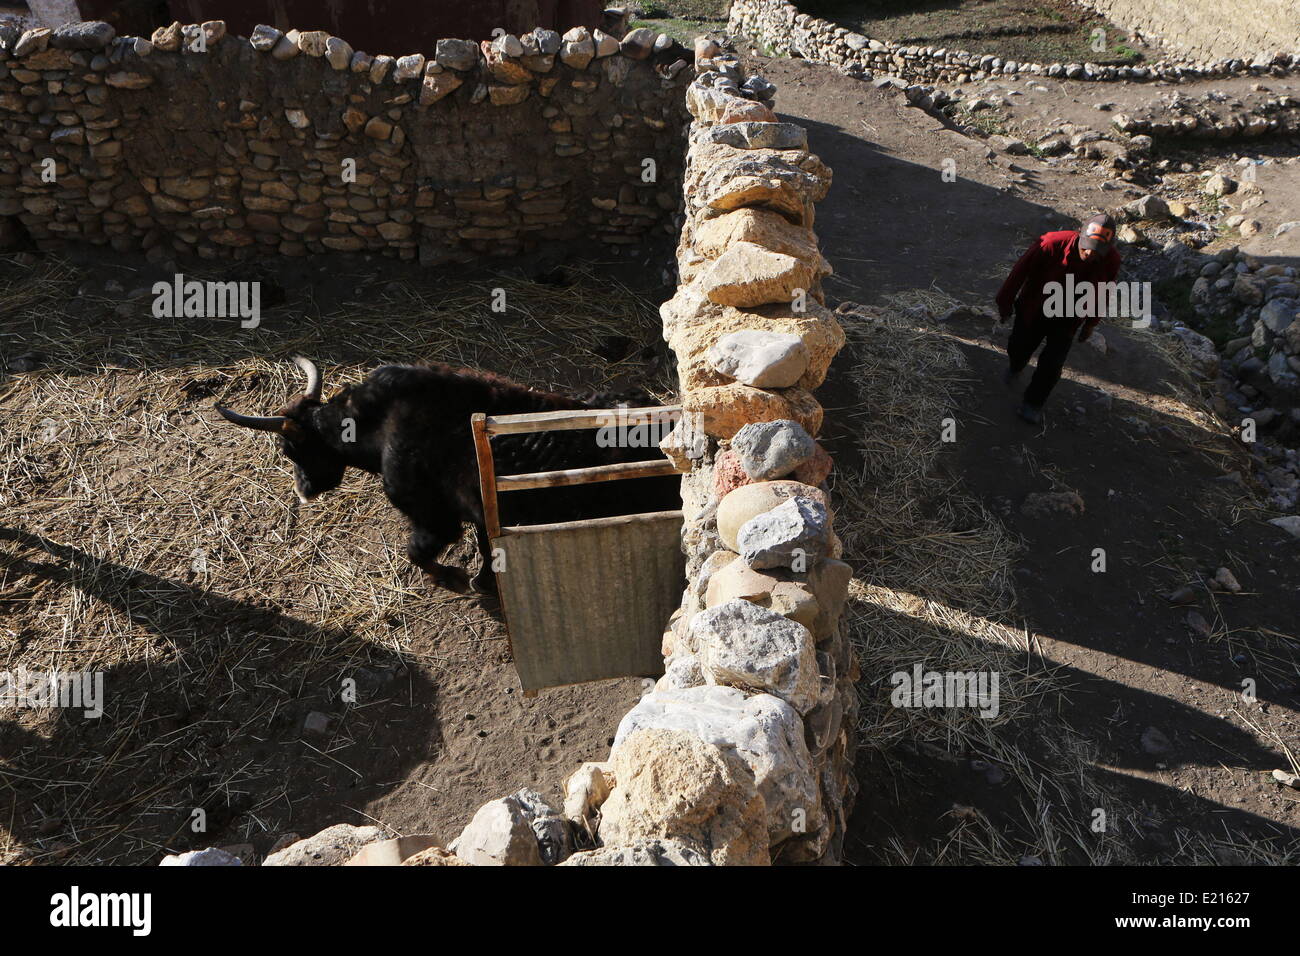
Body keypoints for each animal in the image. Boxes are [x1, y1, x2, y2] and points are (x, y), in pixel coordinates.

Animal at [215, 357, 681, 594]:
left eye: (290, 448)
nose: (304, 489)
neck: (378, 424)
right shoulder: (479, 515)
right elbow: (485, 548)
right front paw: (481, 579)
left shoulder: (433, 518)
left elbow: (417, 551)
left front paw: (454, 577)